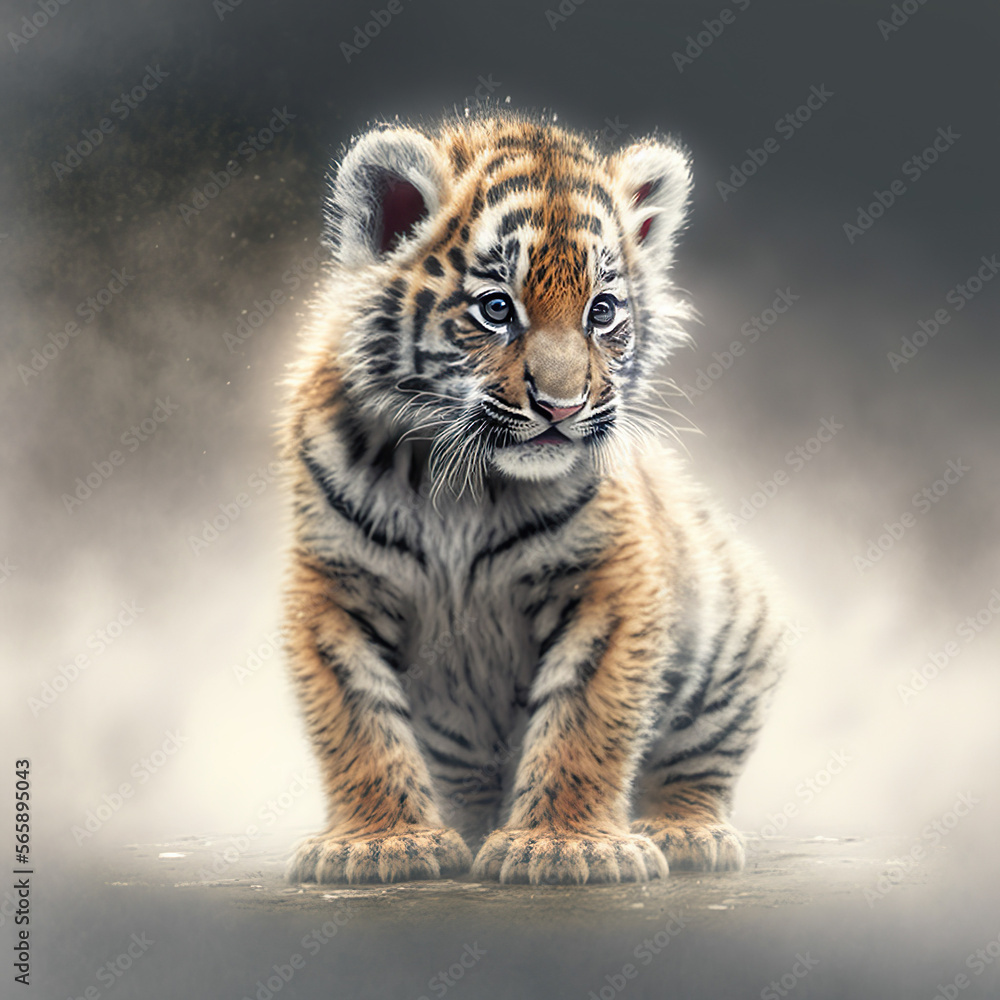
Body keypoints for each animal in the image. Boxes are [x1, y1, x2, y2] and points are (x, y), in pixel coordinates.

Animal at [281, 109, 785, 886]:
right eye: (497, 309)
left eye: (601, 311)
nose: (561, 406)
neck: (457, 483)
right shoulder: (333, 589)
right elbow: (357, 723)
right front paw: (382, 843)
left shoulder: (609, 585)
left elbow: (585, 718)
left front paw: (567, 846)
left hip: (733, 635)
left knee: (695, 764)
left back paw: (680, 832)